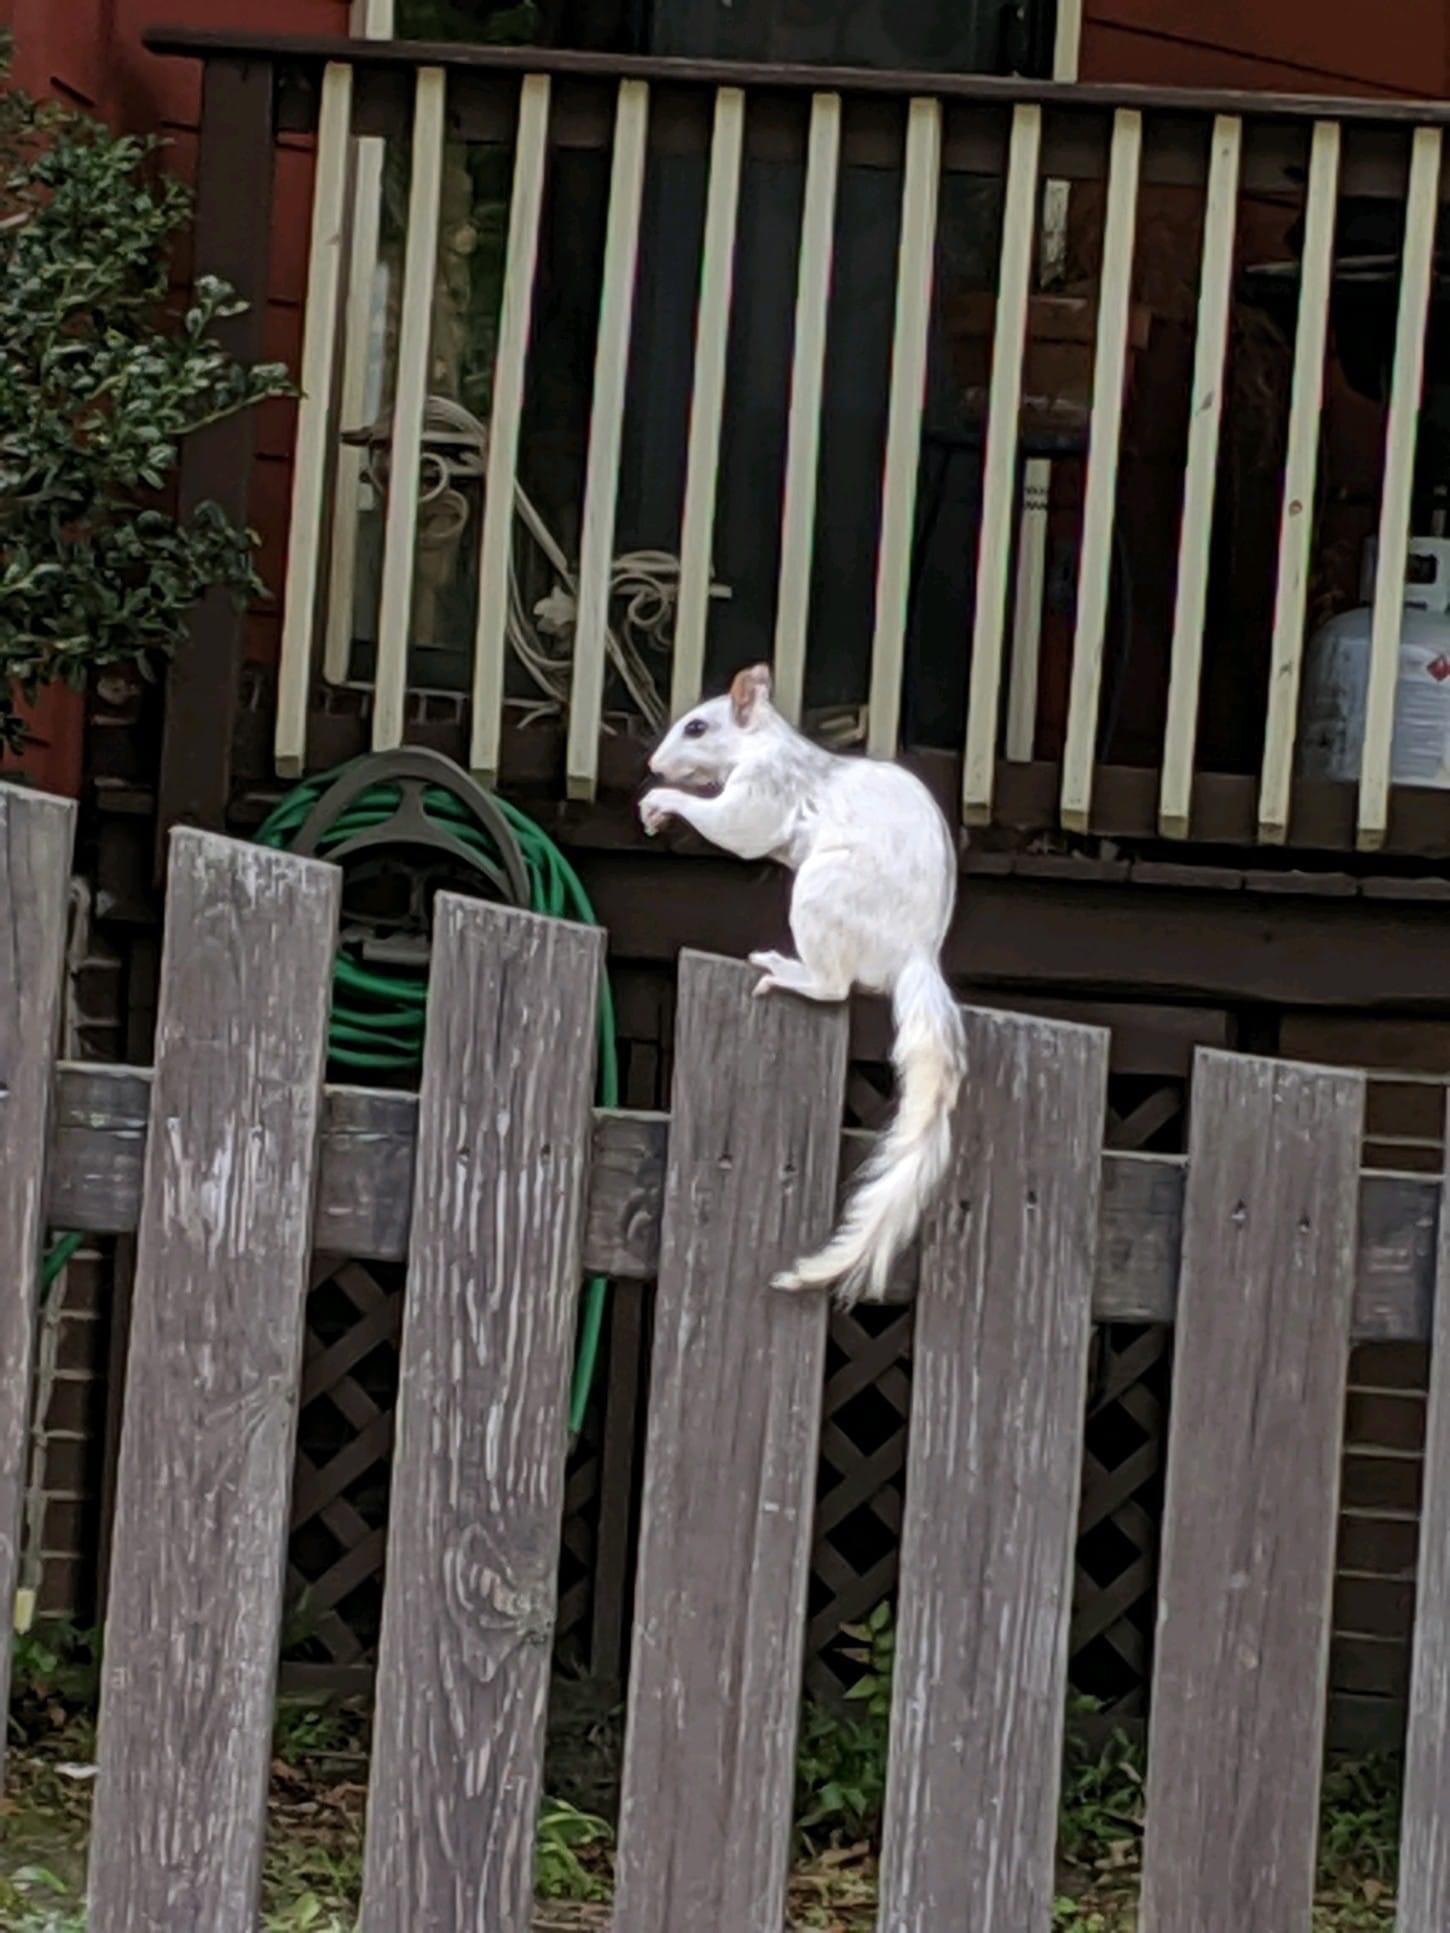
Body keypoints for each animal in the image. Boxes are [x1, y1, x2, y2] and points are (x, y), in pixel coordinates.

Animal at [639, 662, 964, 1308]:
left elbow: (736, 829)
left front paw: (663, 801)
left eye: (696, 727)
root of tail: (916, 956)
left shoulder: (765, 791)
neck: (762, 742)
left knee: (835, 987)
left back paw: (785, 972)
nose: (655, 764)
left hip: (822, 891)